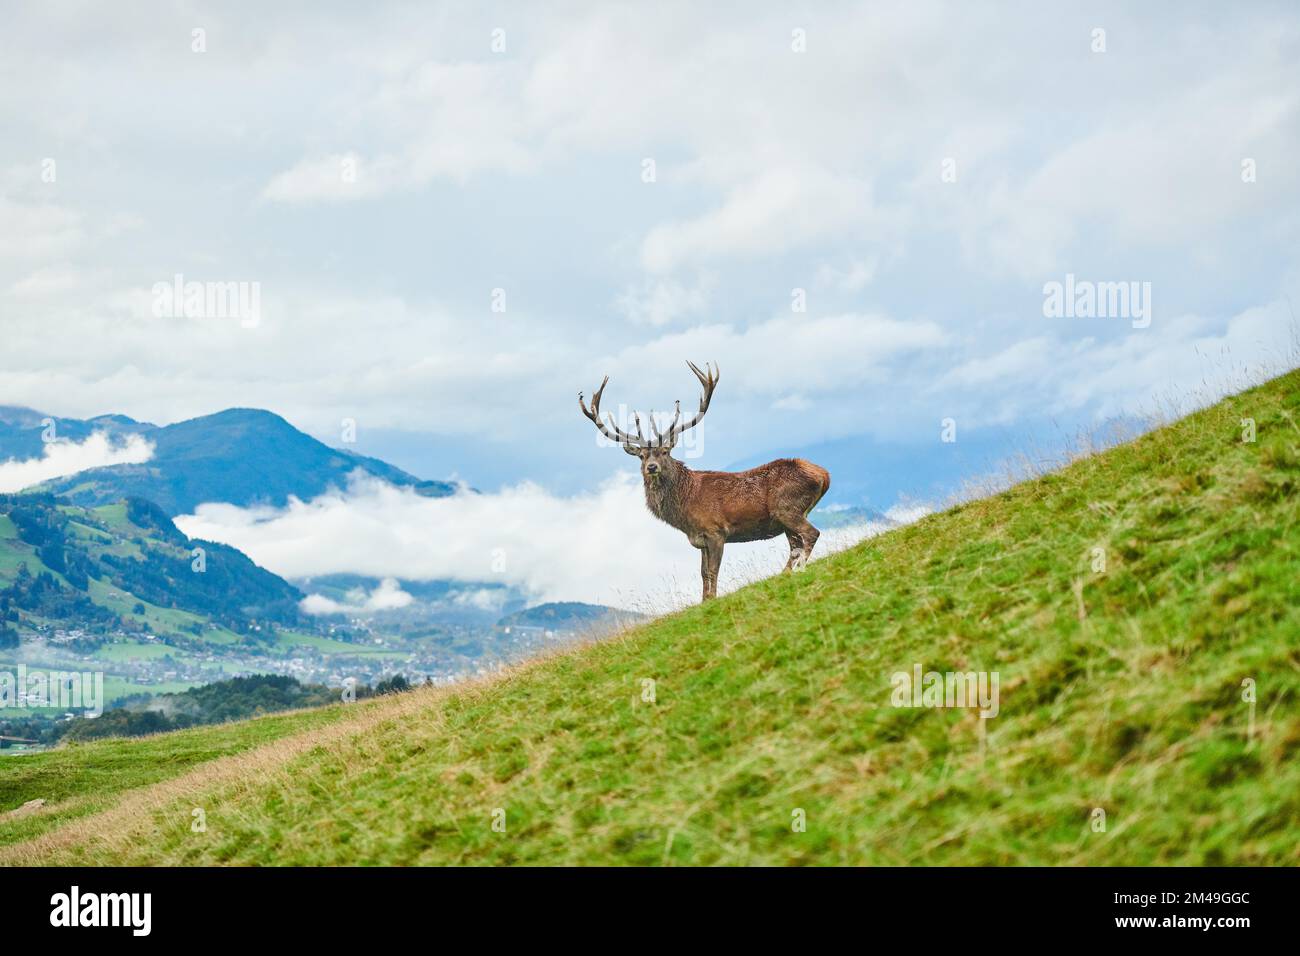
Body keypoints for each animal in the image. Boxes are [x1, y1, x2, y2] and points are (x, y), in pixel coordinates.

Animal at [579, 361, 831, 602]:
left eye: (664, 452)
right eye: (641, 456)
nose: (652, 467)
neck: (685, 507)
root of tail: (824, 475)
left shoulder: (716, 531)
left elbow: (713, 570)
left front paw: (713, 599)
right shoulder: (700, 539)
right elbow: (702, 572)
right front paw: (704, 600)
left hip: (787, 508)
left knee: (811, 534)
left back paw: (797, 570)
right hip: (788, 517)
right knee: (795, 545)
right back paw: (785, 573)